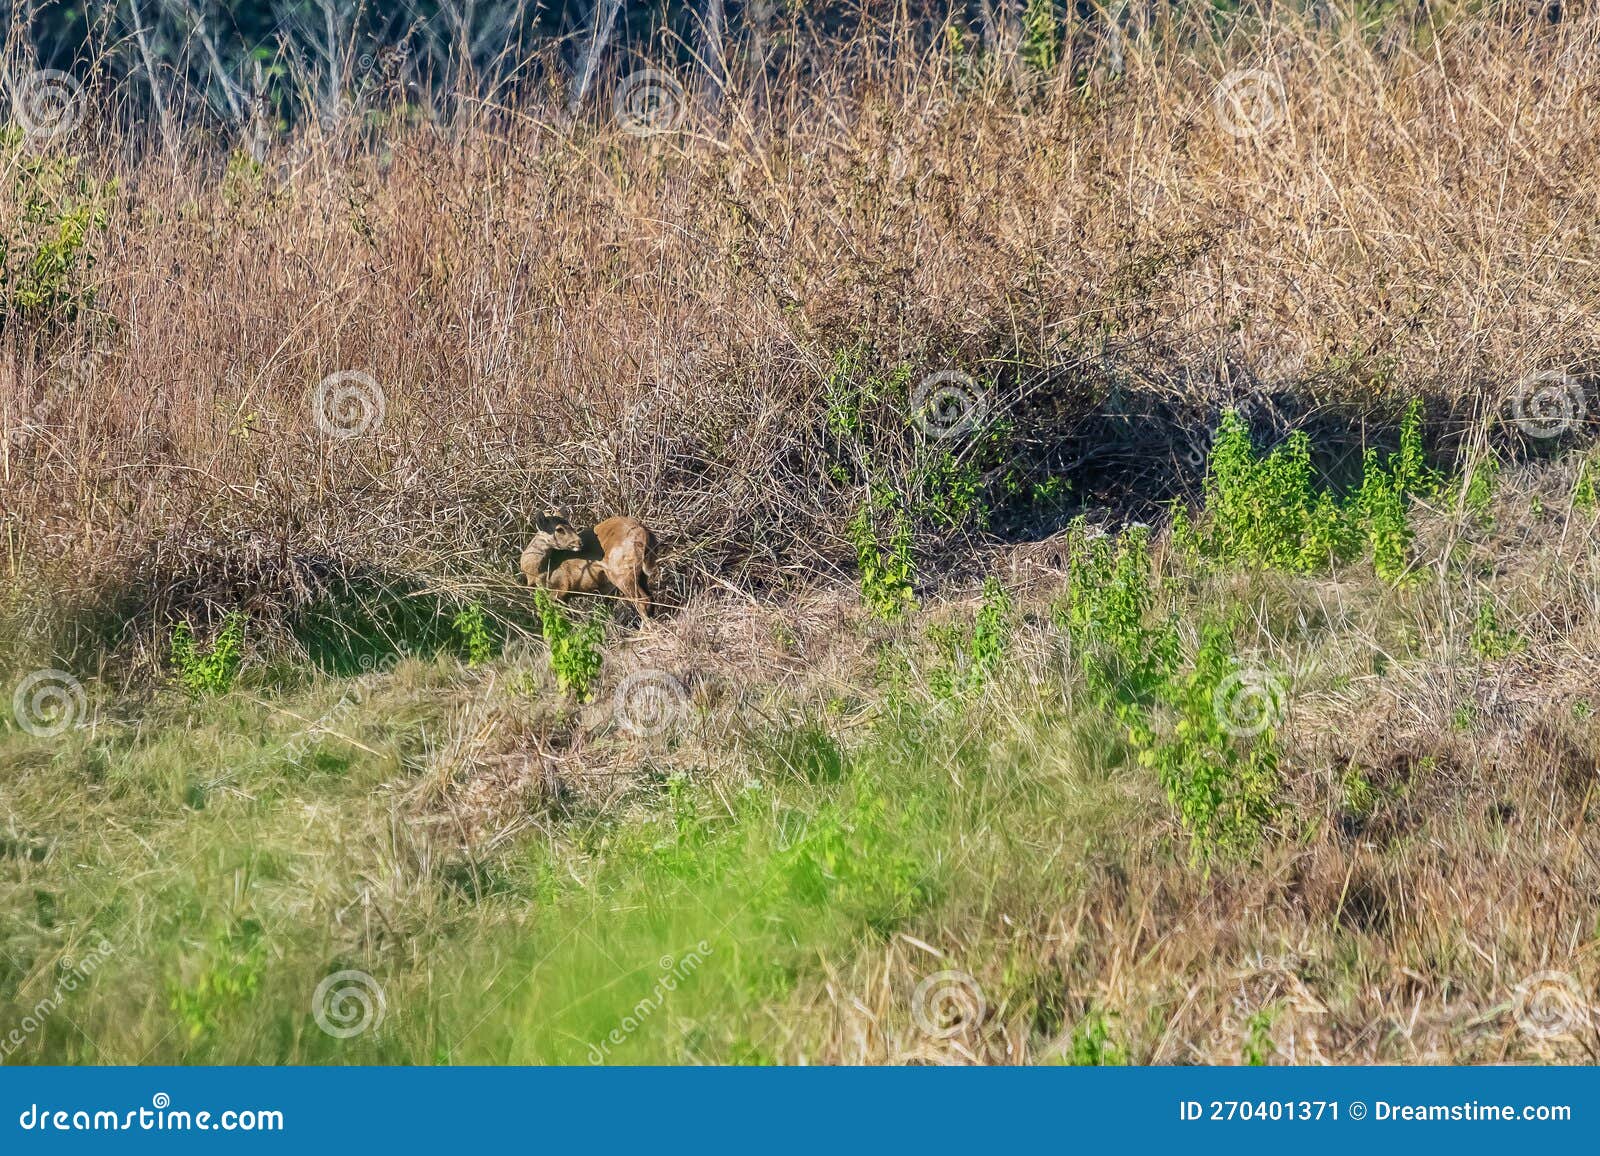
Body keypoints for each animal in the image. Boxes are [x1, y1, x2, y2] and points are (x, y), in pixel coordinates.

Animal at [519, 513, 659, 622]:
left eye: (570, 525)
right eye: (559, 529)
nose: (579, 542)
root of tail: (645, 532)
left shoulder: (559, 587)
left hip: (620, 572)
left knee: (643, 600)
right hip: (641, 575)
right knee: (650, 598)